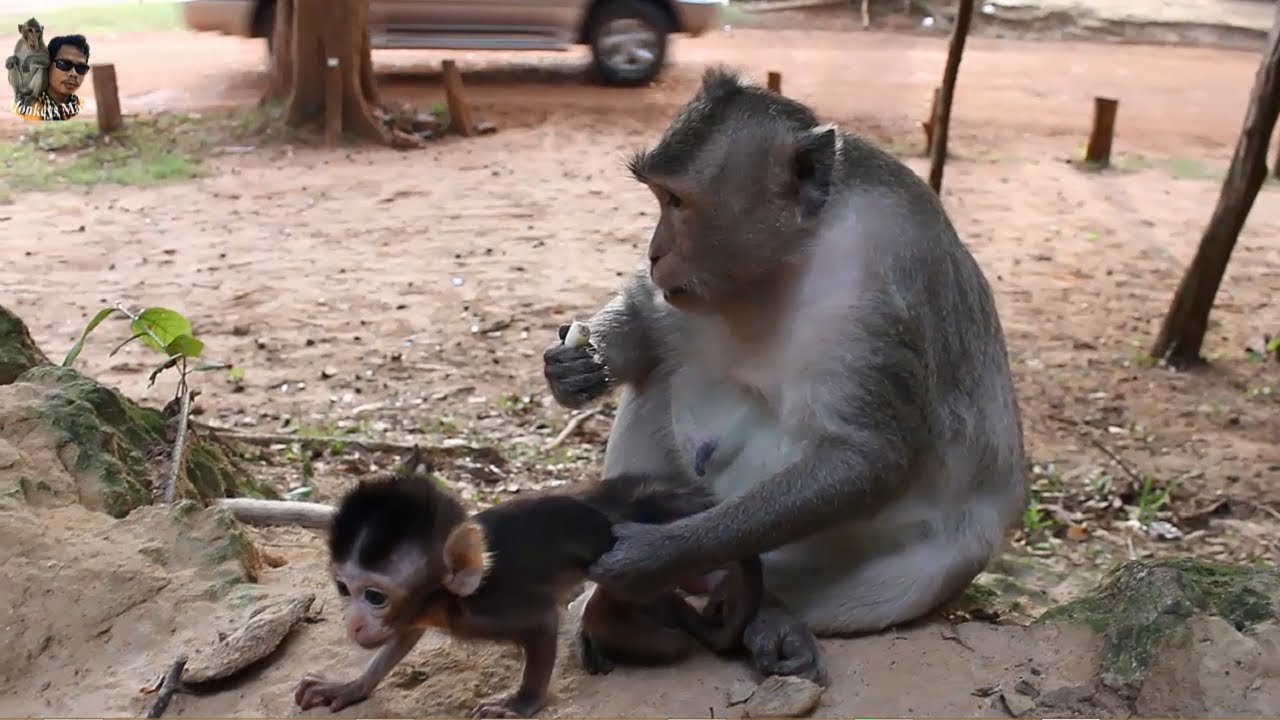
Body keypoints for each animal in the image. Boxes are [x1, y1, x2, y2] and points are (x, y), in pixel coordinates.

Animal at [291, 446, 763, 719]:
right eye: (344, 589)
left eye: (374, 596)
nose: (353, 623)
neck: (451, 599)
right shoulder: (424, 613)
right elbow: (404, 637)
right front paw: (352, 686)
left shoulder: (488, 609)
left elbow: (542, 623)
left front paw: (521, 705)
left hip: (646, 554)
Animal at [542, 66, 1029, 684]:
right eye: (657, 197)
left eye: (675, 201)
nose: (655, 252)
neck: (793, 254)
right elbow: (653, 324)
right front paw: (581, 363)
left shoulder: (871, 286)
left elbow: (866, 456)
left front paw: (650, 556)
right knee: (657, 380)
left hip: (885, 561)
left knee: (929, 566)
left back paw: (766, 614)